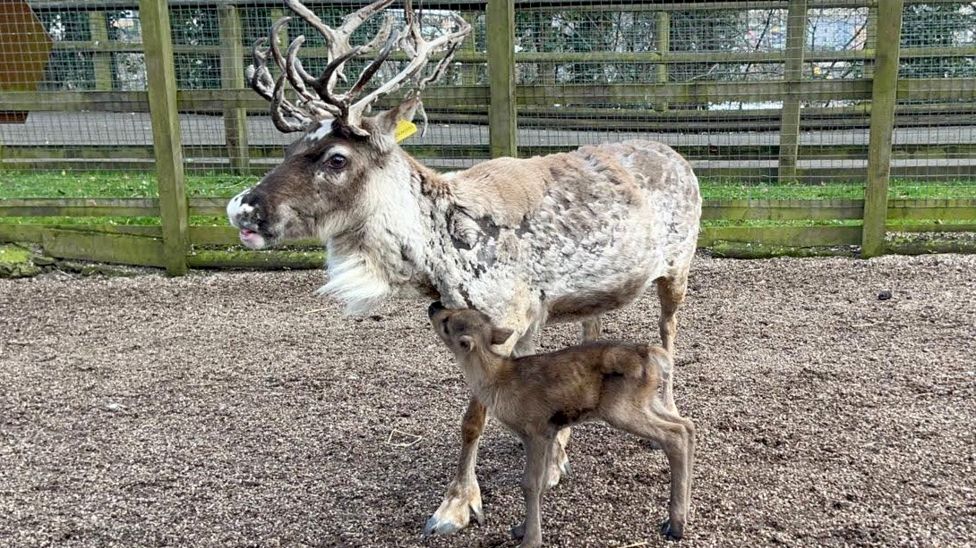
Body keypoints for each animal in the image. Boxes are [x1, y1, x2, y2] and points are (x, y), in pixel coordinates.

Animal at [427, 301, 695, 547]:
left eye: (447, 323)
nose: (434, 306)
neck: (498, 379)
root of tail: (654, 356)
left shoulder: (535, 429)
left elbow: (530, 483)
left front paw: (531, 540)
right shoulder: (548, 431)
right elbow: (543, 480)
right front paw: (521, 529)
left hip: (621, 409)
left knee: (673, 435)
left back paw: (675, 524)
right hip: (646, 401)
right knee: (686, 425)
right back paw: (681, 514)